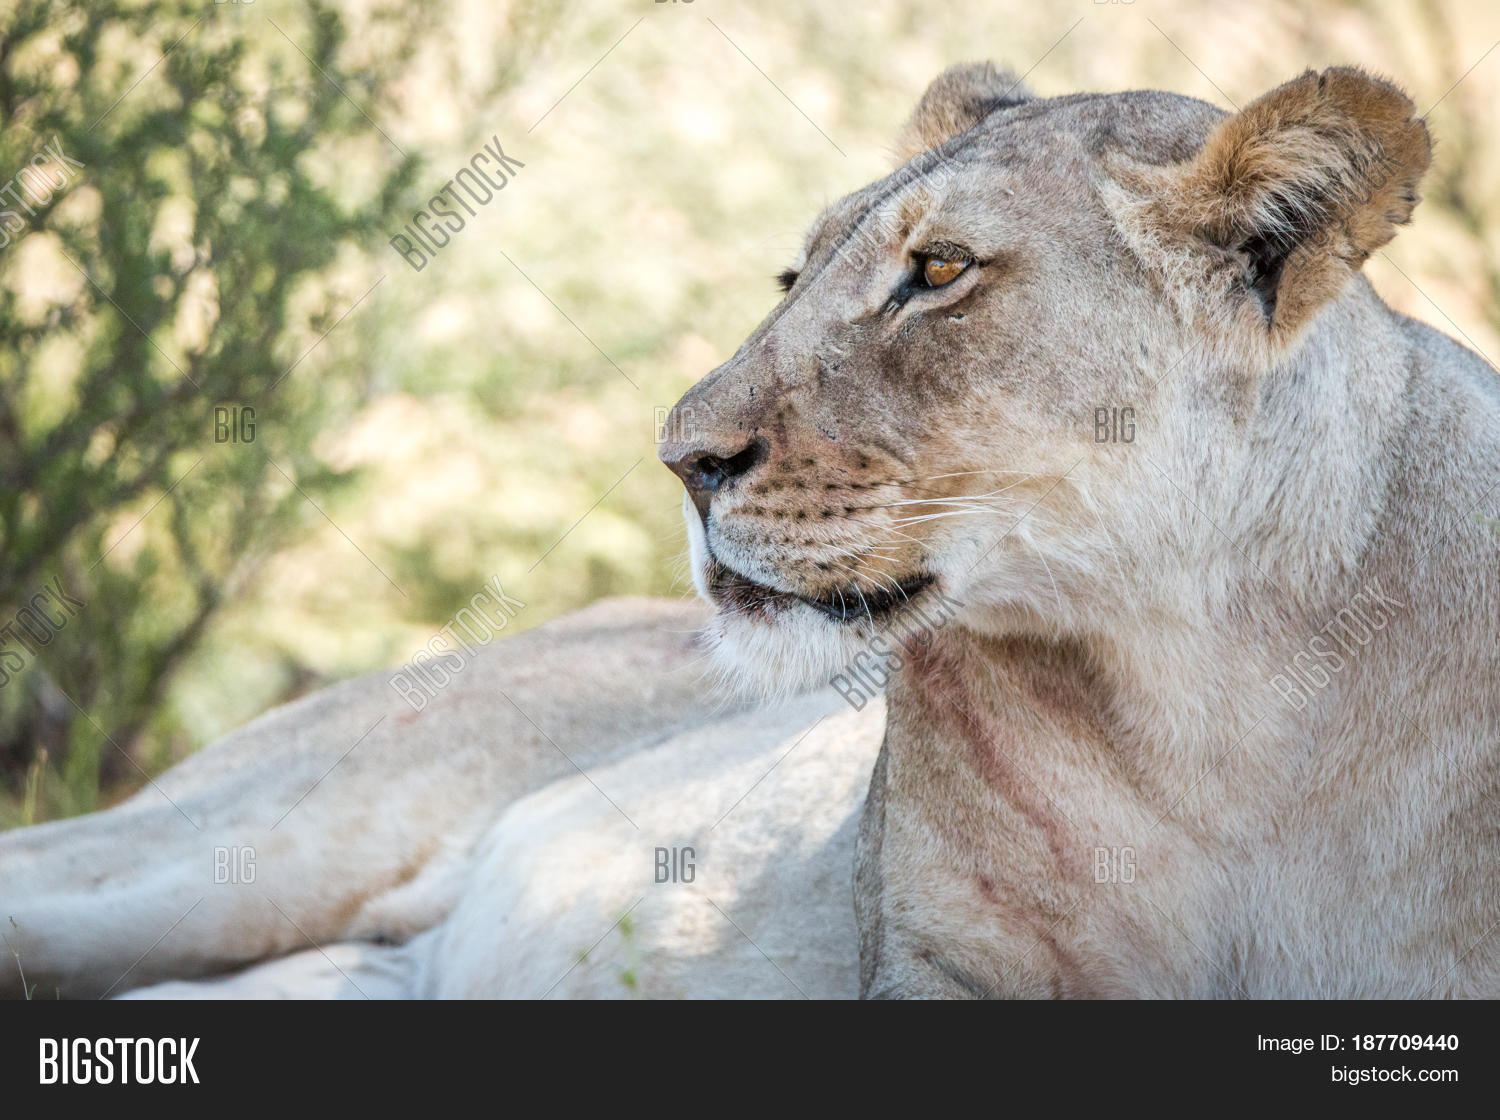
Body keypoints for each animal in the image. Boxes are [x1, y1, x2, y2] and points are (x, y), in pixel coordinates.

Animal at [4, 63, 1497, 999]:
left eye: (937, 270)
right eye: (798, 269)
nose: (681, 460)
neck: (1214, 699)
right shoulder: (930, 962)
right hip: (246, 841)